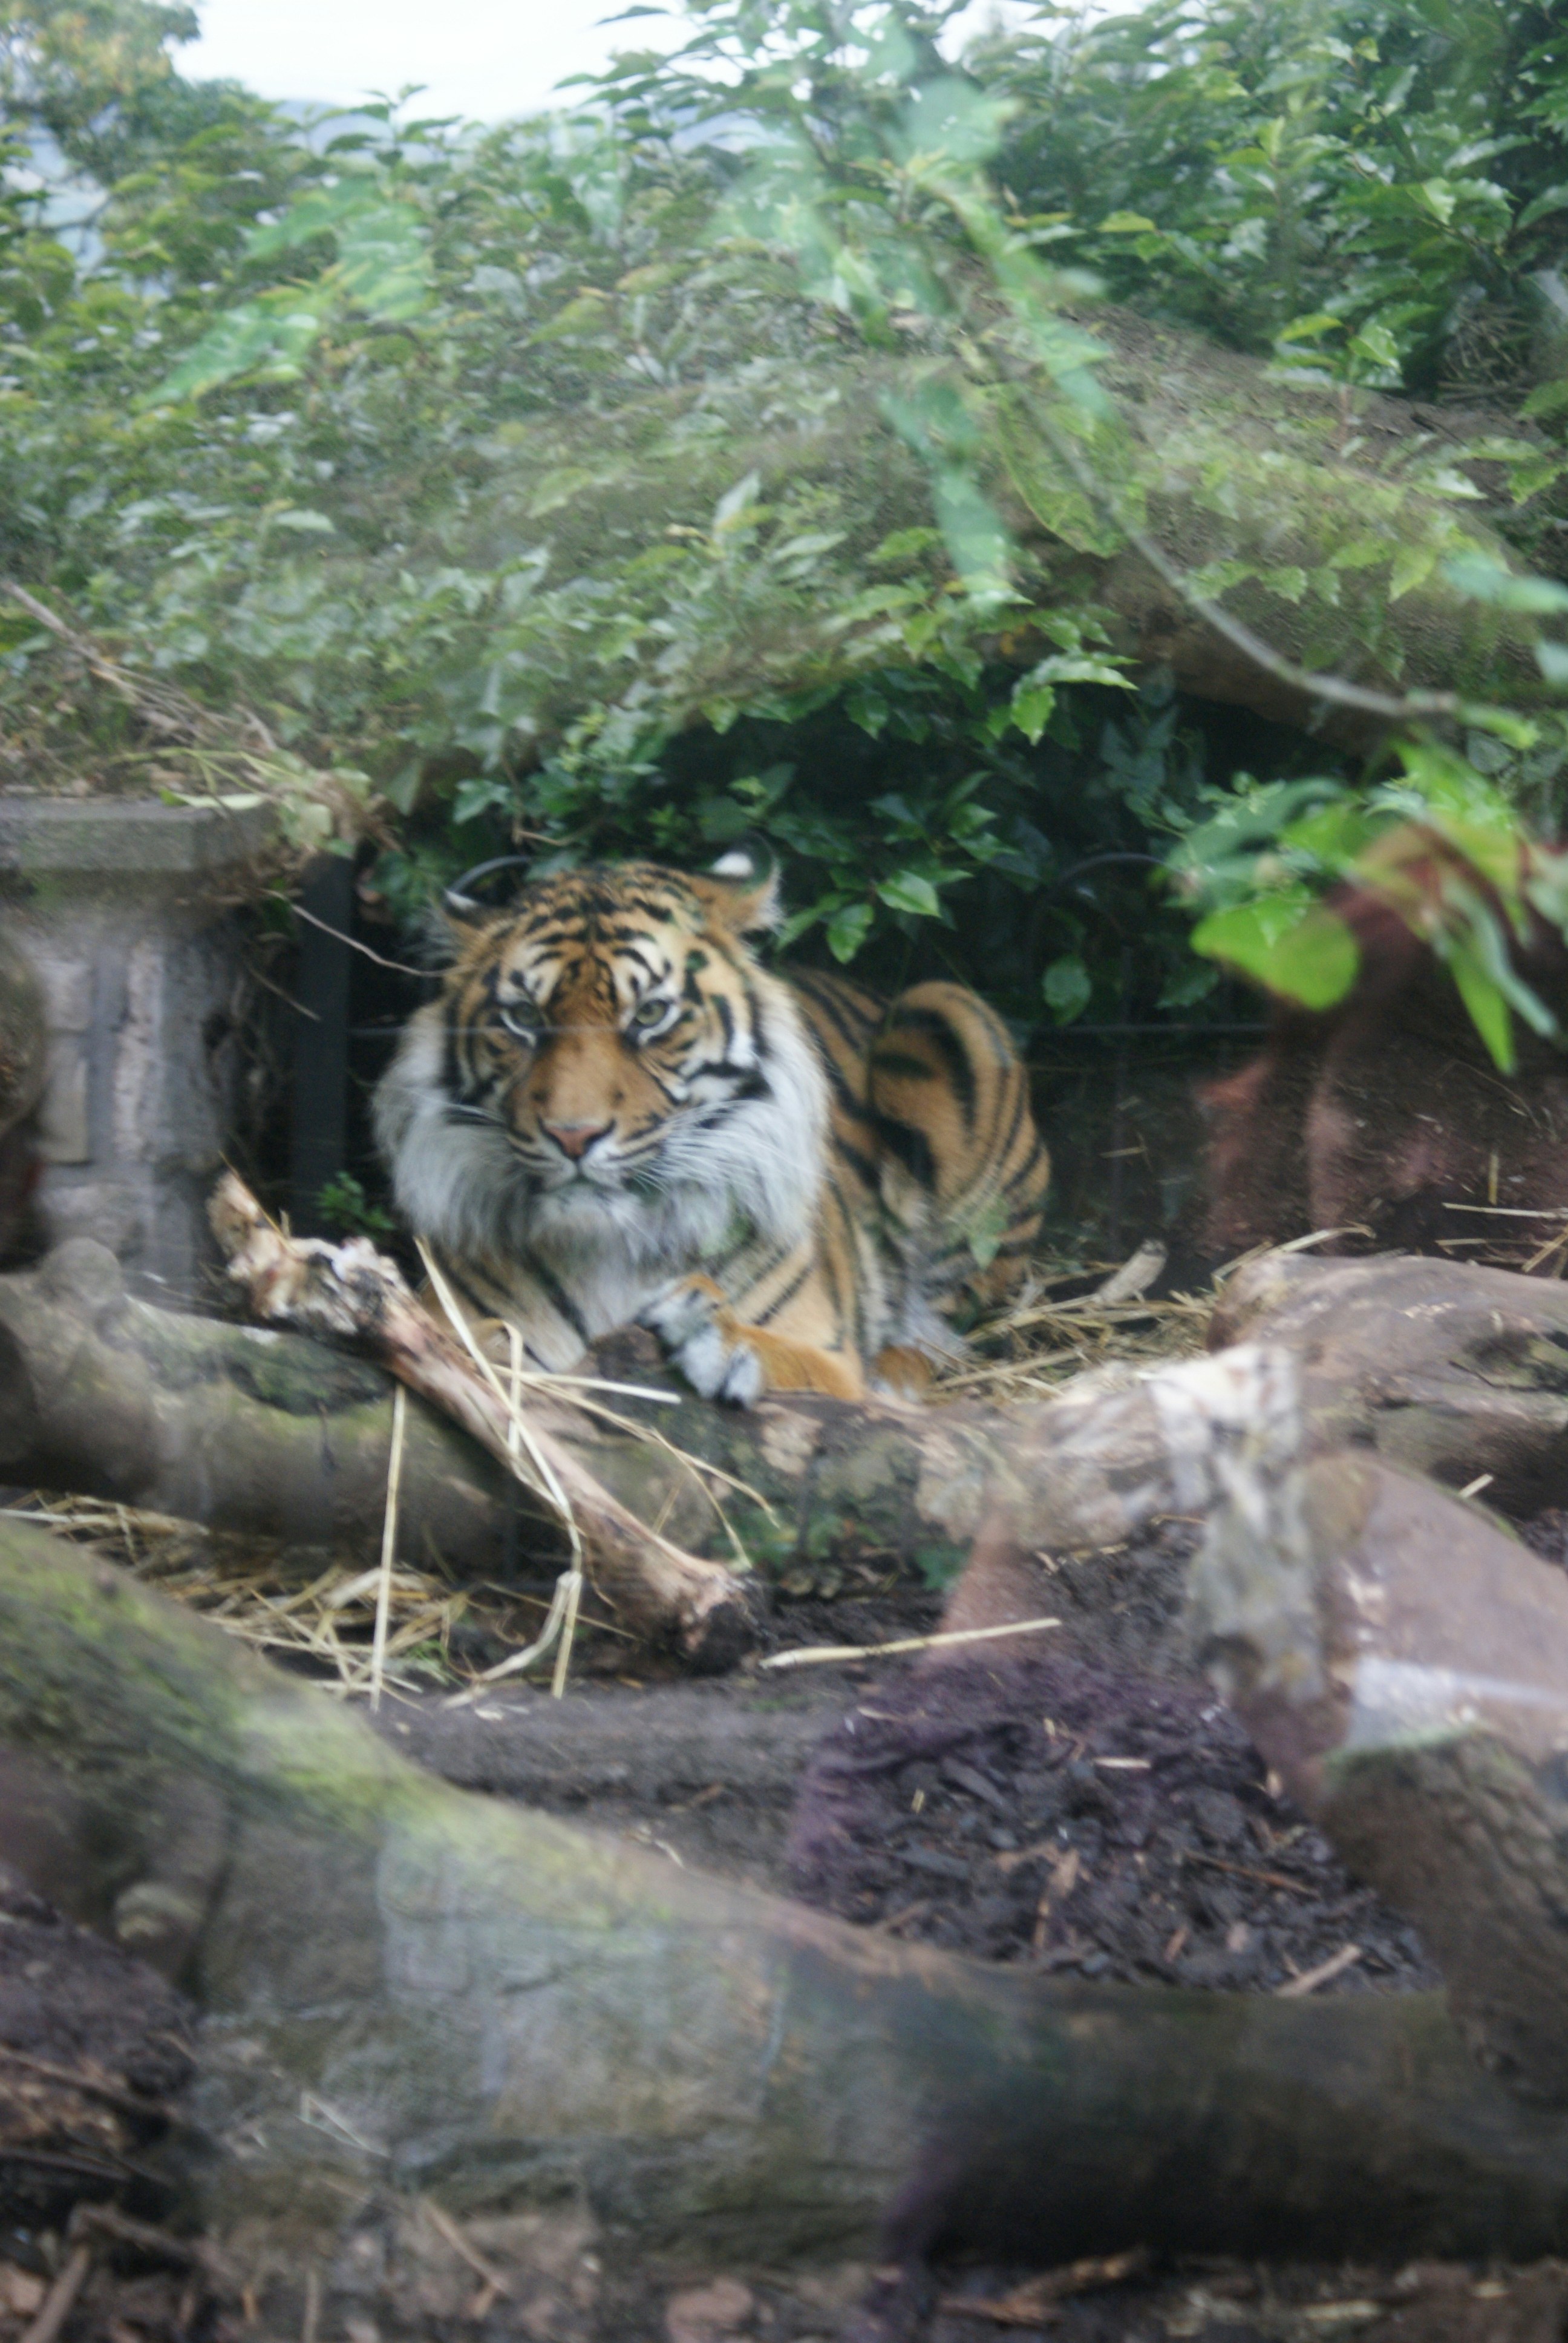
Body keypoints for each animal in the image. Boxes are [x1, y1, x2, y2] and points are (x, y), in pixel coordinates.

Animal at [373, 845, 1049, 1403]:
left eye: (650, 1014)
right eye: (523, 1017)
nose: (573, 1135)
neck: (607, 1246)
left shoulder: (830, 1361)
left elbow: (796, 1362)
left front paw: (717, 1334)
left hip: (944, 1009)